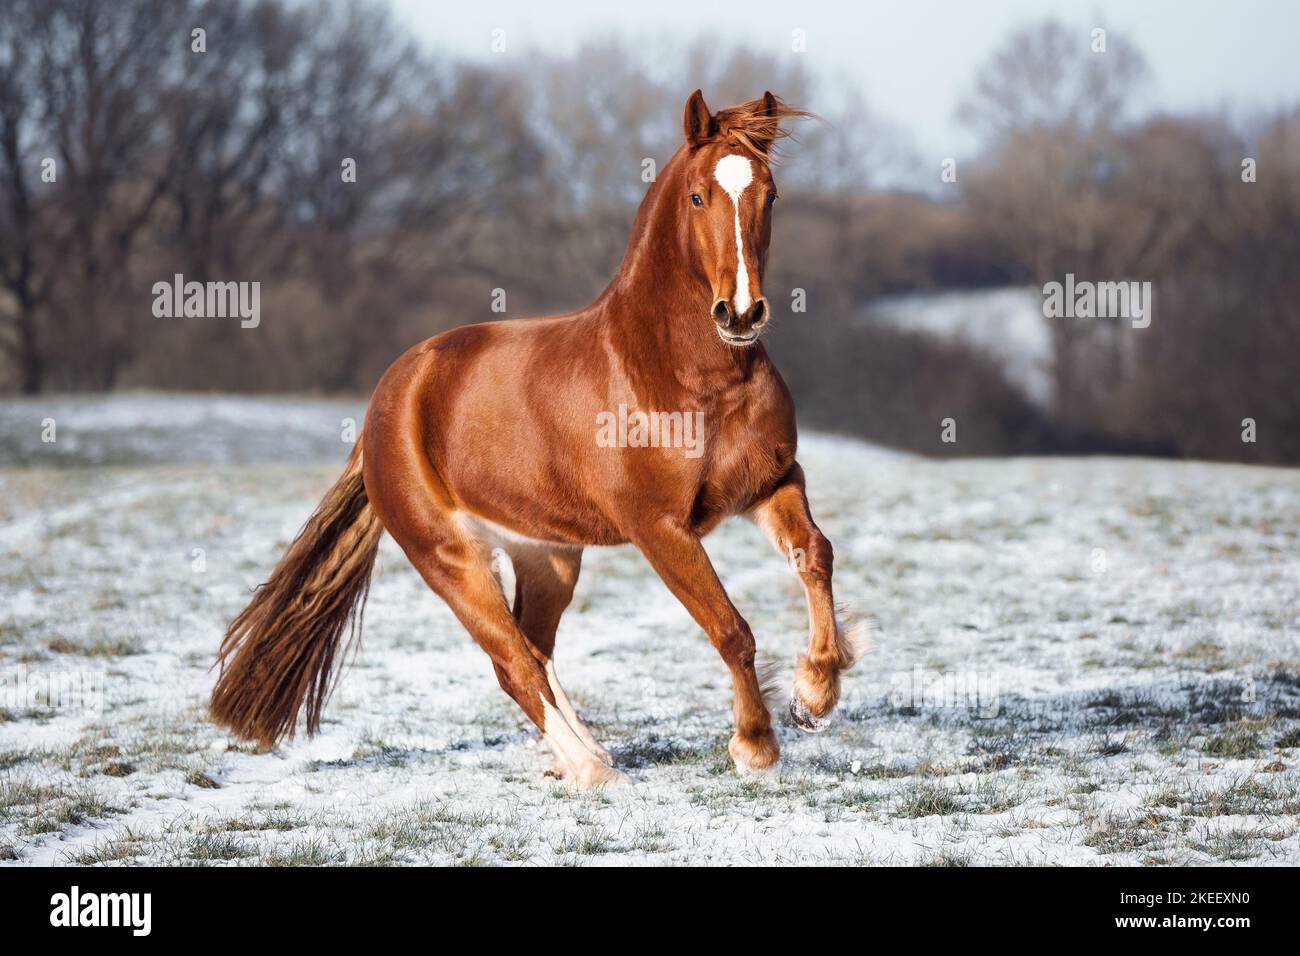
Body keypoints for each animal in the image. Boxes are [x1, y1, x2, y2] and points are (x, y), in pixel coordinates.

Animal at [210, 90, 868, 788]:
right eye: (697, 195)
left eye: (770, 195)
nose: (740, 314)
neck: (691, 376)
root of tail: (386, 402)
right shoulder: (659, 527)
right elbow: (729, 628)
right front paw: (755, 745)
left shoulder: (773, 482)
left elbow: (816, 555)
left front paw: (814, 694)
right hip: (450, 558)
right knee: (513, 662)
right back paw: (591, 770)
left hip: (548, 555)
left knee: (536, 646)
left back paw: (589, 753)